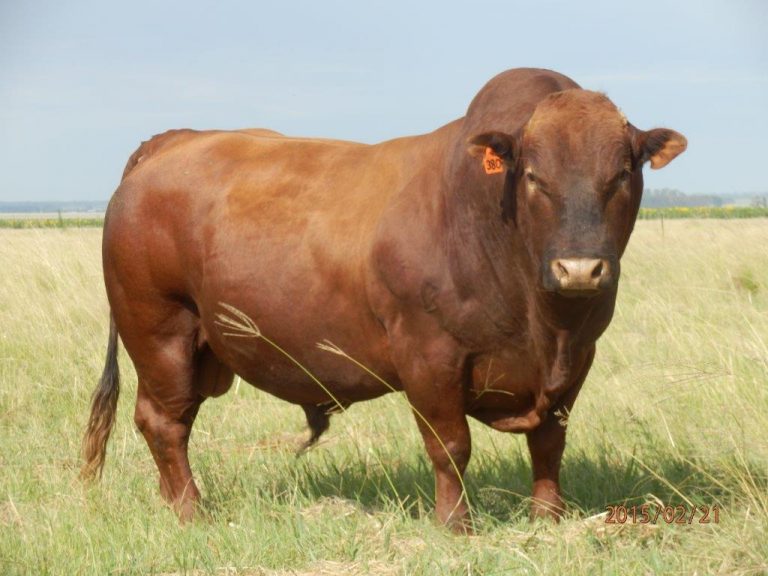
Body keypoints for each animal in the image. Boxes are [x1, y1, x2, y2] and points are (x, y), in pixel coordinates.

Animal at [81, 68, 686, 532]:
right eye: (535, 176)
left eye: (622, 174)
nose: (580, 269)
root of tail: (171, 142)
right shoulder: (428, 356)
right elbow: (450, 446)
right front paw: (455, 526)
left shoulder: (576, 359)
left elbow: (548, 444)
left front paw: (548, 518)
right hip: (160, 332)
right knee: (163, 422)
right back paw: (191, 512)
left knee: (173, 421)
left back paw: (173, 503)